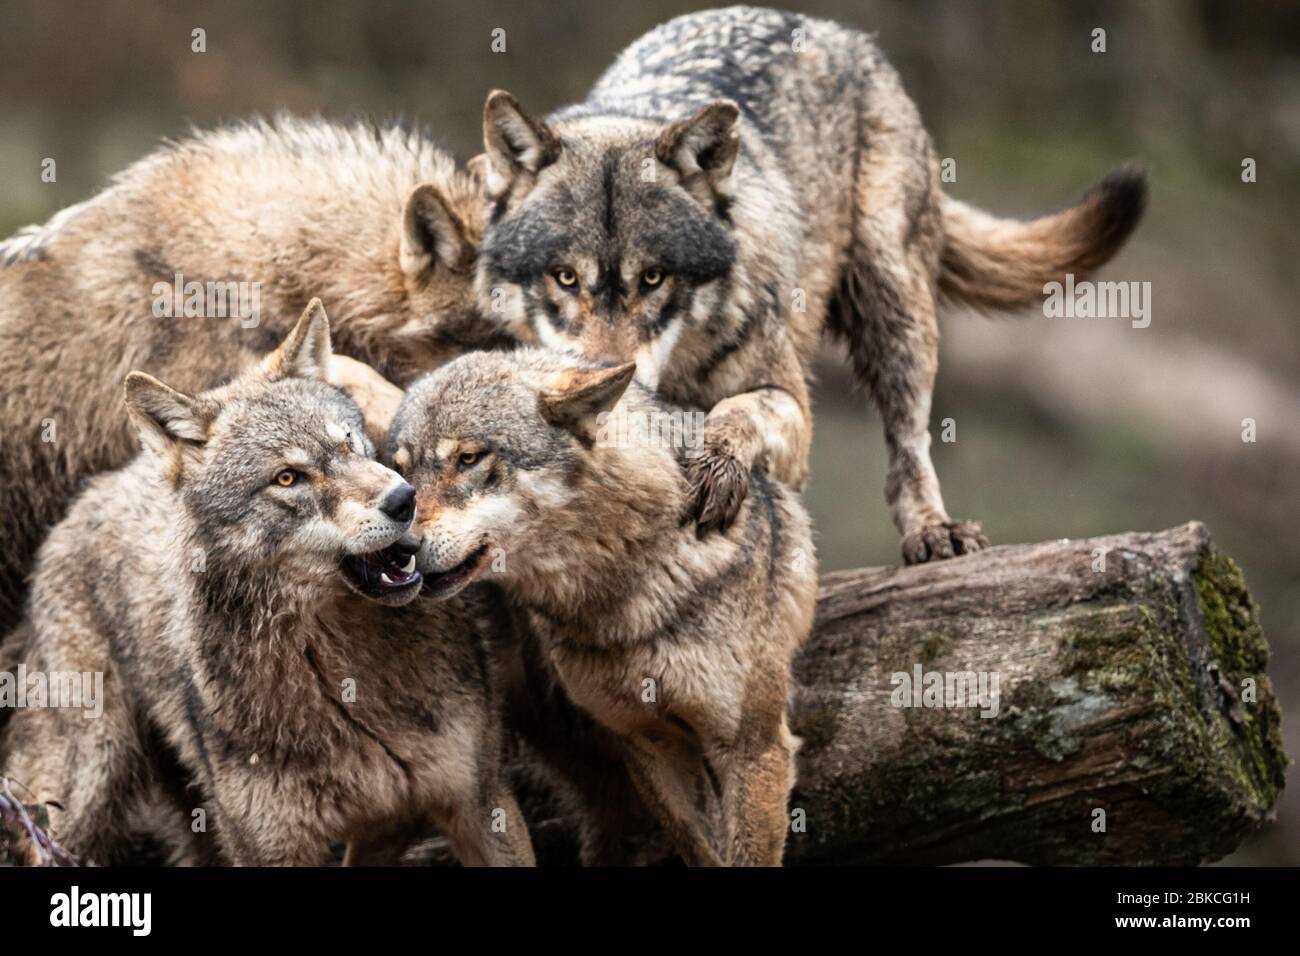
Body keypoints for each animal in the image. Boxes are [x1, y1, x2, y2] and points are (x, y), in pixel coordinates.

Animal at [0, 302, 533, 867]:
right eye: (287, 478)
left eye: (349, 443)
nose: (404, 499)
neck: (338, 683)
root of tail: (86, 496)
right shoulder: (272, 849)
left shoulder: (478, 803)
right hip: (83, 790)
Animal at [388, 348, 819, 865]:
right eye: (402, 473)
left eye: (468, 458)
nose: (398, 551)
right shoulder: (646, 742)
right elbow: (699, 849)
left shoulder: (753, 750)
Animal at [476, 5, 1146, 562]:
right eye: (565, 278)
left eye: (653, 278)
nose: (609, 389)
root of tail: (833, 29)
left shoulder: (792, 409)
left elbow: (736, 412)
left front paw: (715, 467)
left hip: (892, 303)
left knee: (910, 445)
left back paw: (935, 531)